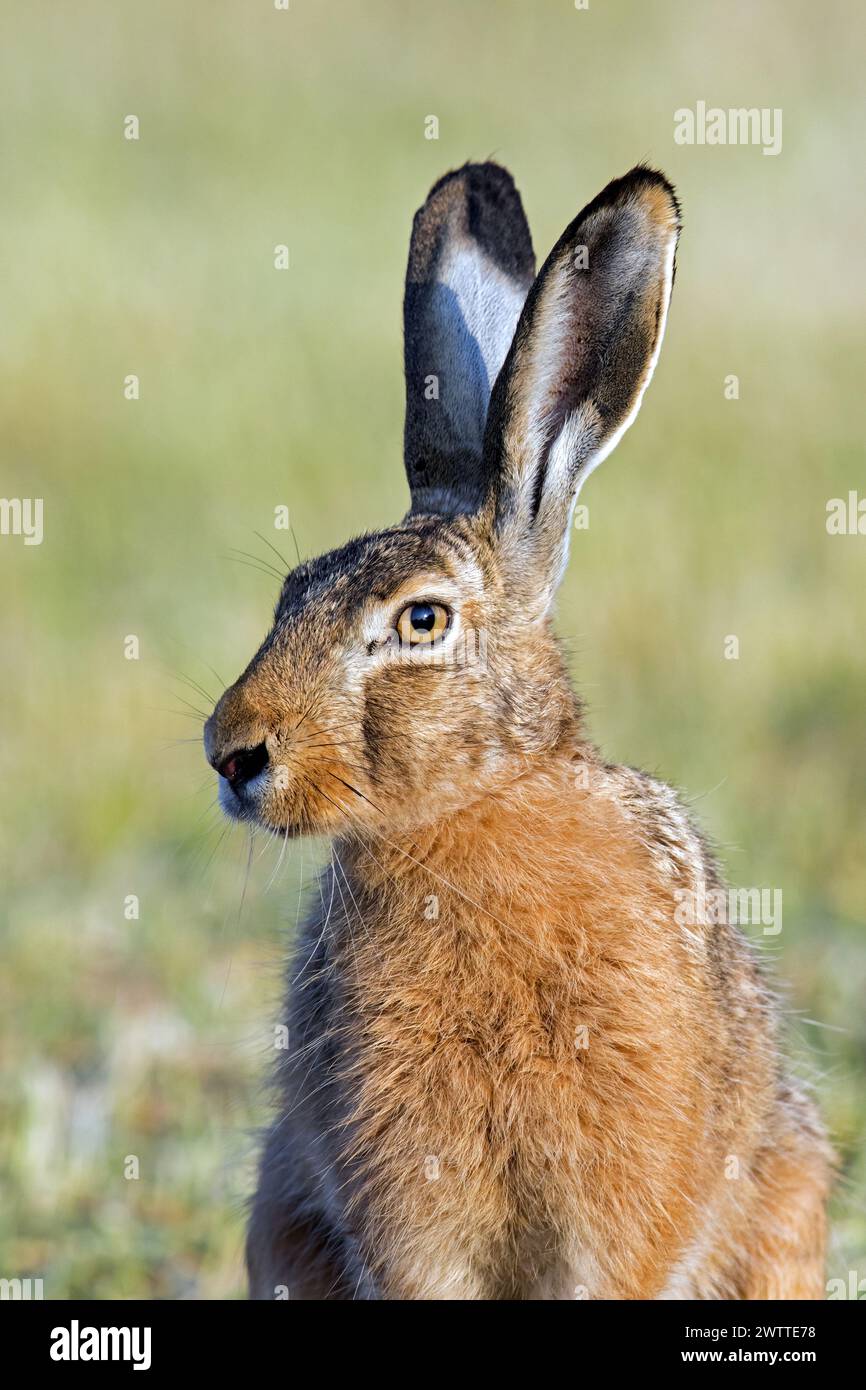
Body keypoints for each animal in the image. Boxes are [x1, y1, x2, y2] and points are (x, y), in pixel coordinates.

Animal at [204, 163, 832, 1300]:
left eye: (421, 620)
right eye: (289, 593)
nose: (233, 752)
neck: (473, 813)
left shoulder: (622, 1203)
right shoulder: (405, 1206)